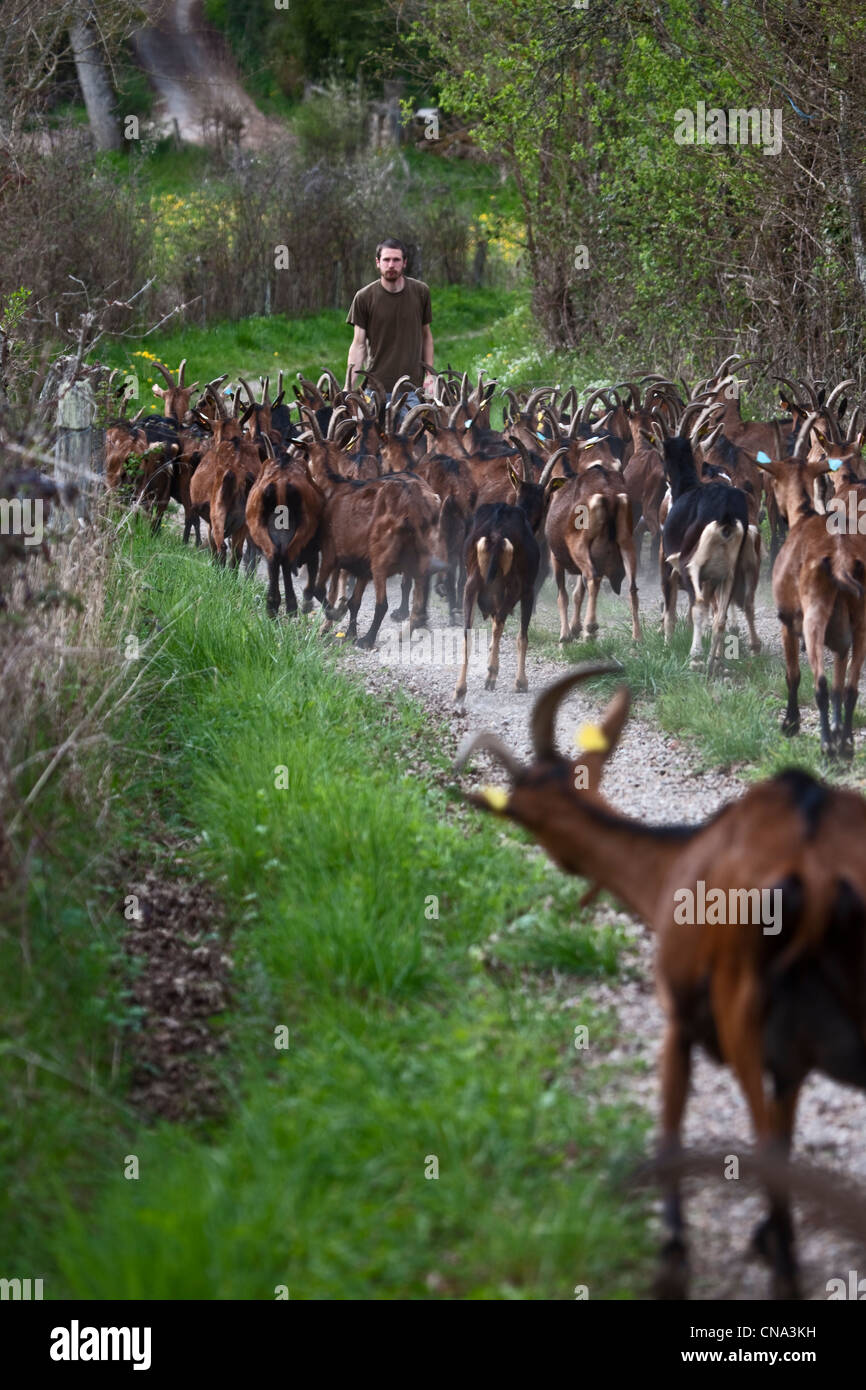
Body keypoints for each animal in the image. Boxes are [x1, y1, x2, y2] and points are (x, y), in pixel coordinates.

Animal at [457, 663, 866, 1300]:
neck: (674, 862)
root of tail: (817, 875)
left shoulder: (678, 1019)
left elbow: (672, 1130)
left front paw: (675, 1250)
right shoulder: (792, 1062)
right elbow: (784, 1135)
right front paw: (765, 1236)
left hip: (739, 1016)